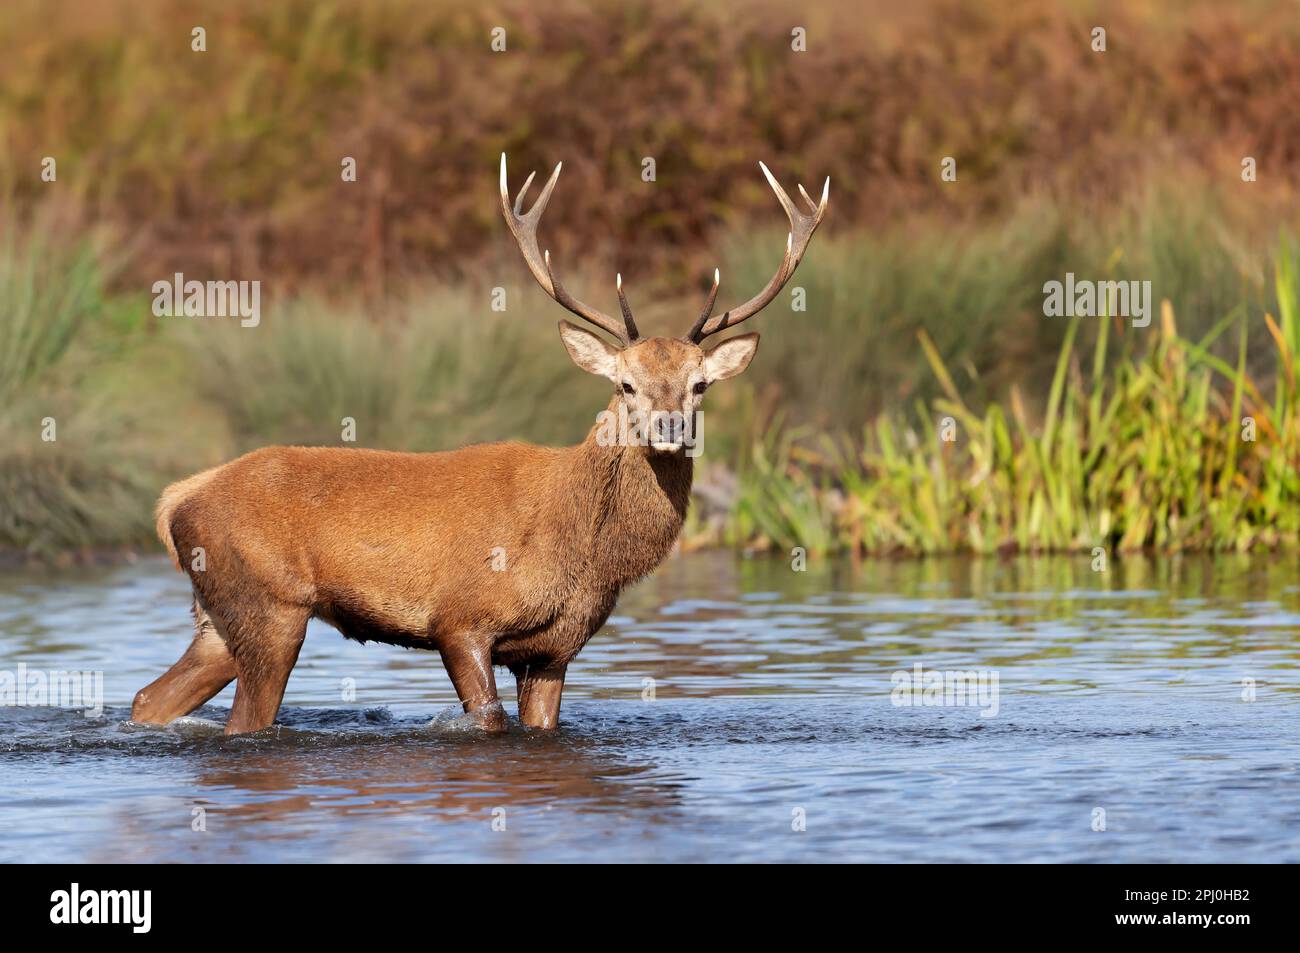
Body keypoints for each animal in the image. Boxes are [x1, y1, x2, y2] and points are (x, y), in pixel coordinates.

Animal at [130, 154, 828, 735]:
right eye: (625, 382)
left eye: (700, 383)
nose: (669, 427)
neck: (583, 555)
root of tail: (175, 500)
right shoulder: (460, 618)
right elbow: (486, 720)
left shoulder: (554, 651)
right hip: (269, 606)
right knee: (242, 720)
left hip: (216, 615)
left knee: (149, 698)